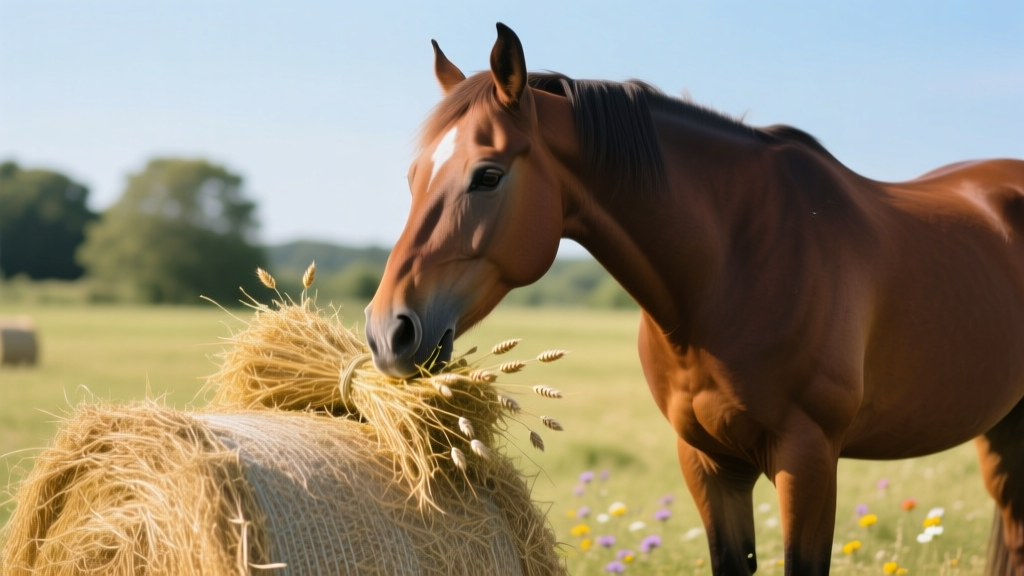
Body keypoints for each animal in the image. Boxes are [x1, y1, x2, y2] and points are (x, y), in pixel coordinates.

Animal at [364, 23, 1024, 575]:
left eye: (489, 175)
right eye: (414, 176)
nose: (387, 332)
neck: (735, 265)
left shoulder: (809, 457)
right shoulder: (707, 462)